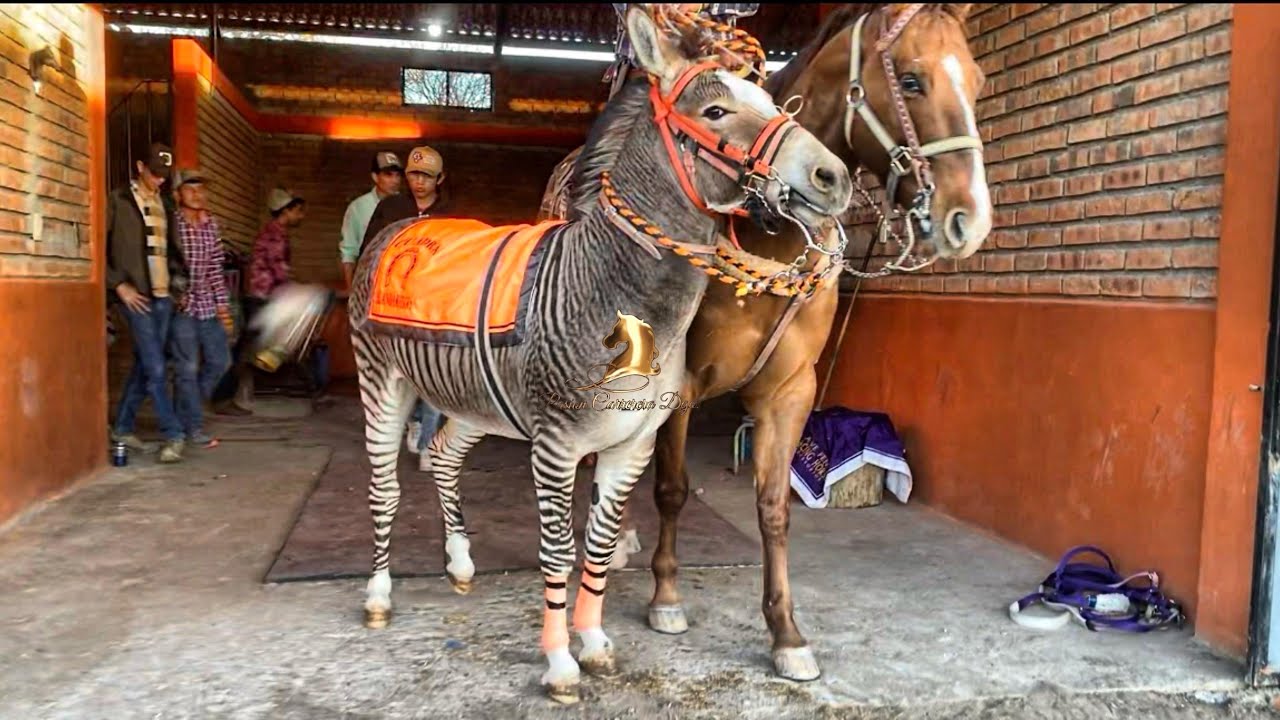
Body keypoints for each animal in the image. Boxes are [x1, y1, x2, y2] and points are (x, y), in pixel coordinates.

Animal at [345, 7, 852, 705]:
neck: (608, 285)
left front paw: (592, 642)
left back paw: (460, 562)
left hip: (474, 402)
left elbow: (601, 543)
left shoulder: (629, 444)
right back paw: (378, 595)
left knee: (444, 457)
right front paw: (560, 662)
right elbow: (559, 550)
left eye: (774, 102)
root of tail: (401, 225)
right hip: (383, 383)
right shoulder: (557, 445)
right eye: (716, 111)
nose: (836, 177)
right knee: (386, 486)